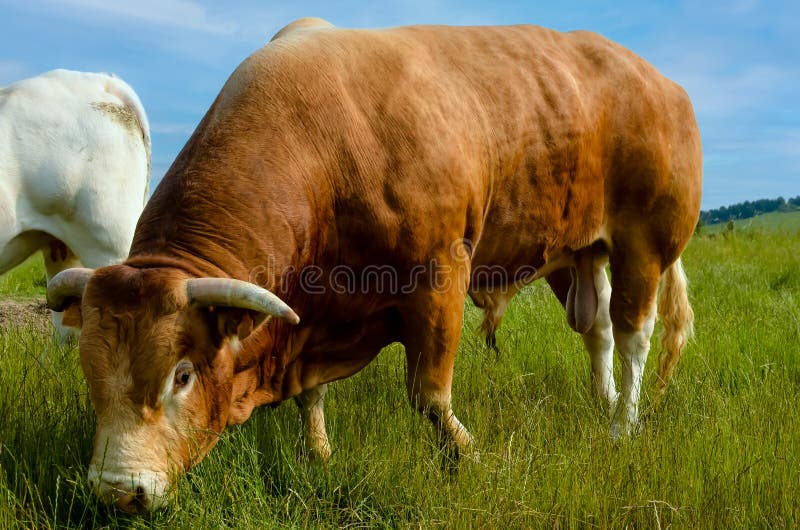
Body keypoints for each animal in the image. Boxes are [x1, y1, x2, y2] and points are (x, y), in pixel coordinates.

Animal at [46, 18, 701, 513]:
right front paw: (317, 454)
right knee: (599, 329)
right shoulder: (307, 313)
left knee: (635, 334)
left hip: (643, 243)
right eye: (88, 370)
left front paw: (468, 459)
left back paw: (623, 425)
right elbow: (312, 395)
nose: (117, 492)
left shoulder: (439, 276)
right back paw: (603, 400)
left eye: (181, 375)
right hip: (578, 251)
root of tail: (659, 79)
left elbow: (430, 395)